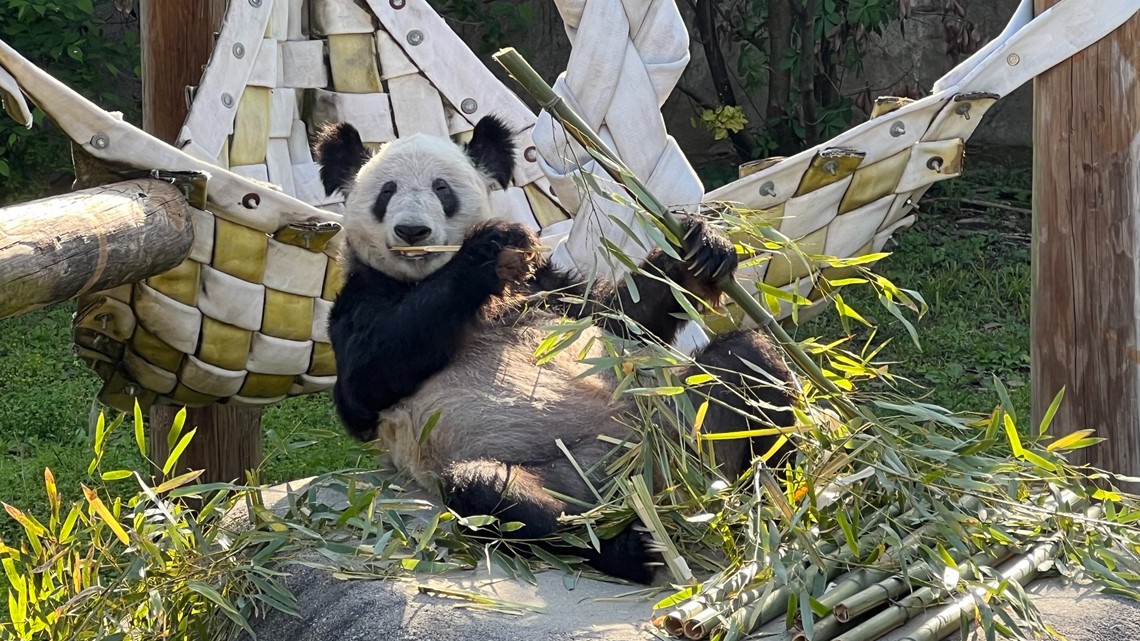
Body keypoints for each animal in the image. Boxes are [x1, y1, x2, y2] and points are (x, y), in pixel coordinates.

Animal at [313, 115, 798, 584]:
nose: (412, 231)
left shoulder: (548, 288)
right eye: (387, 192)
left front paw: (700, 245)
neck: (422, 276)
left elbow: (620, 316)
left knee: (748, 366)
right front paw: (490, 246)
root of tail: (654, 476)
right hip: (558, 471)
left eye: (441, 188)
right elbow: (365, 380)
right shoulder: (358, 302)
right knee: (500, 497)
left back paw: (784, 492)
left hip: (686, 413)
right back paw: (633, 545)